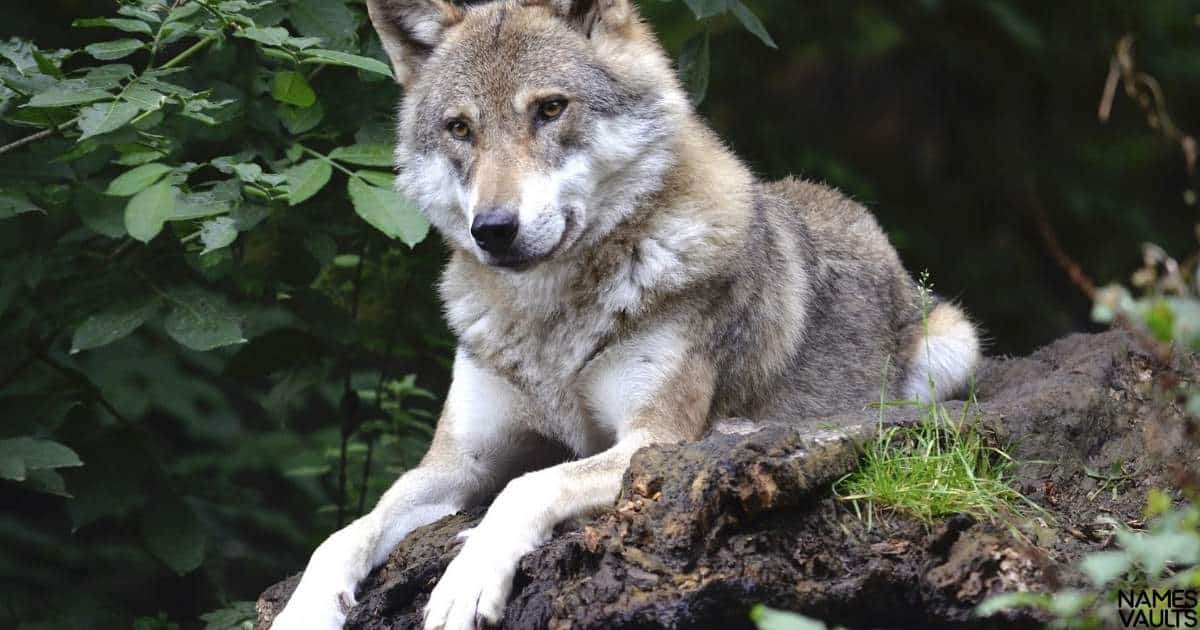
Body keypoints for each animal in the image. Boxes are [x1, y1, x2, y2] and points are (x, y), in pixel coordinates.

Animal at [269, 1, 981, 628]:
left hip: (951, 347)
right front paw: (304, 610)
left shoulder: (650, 441)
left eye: (550, 109)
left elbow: (527, 487)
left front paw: (466, 581)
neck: (549, 322)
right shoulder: (455, 465)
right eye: (460, 128)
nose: (493, 230)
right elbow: (346, 531)